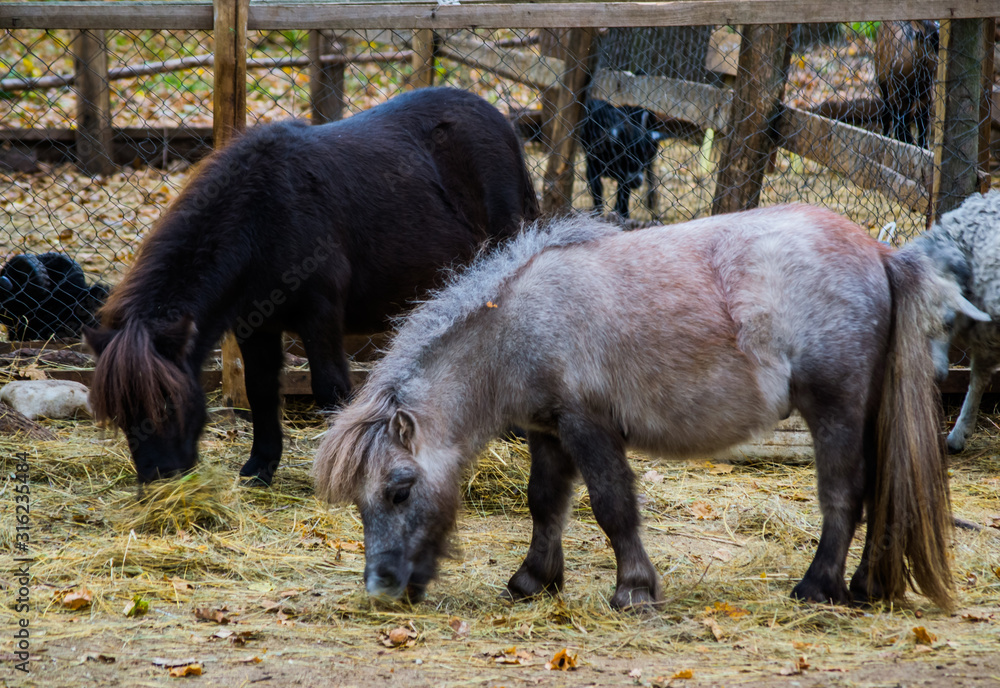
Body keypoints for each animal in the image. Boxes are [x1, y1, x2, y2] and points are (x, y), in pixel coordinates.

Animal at [85, 87, 539, 486]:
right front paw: (259, 469)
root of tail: (500, 122)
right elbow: (261, 390)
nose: (159, 478)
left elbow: (332, 391)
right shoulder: (255, 325)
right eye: (121, 414)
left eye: (167, 403)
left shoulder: (319, 316)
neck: (263, 217)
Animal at [312, 206, 980, 612]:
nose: (382, 588)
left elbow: (612, 507)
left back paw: (818, 587)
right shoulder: (549, 433)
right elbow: (545, 504)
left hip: (835, 410)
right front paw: (533, 581)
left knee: (845, 496)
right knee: (881, 494)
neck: (519, 328)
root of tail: (882, 255)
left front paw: (633, 590)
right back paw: (866, 587)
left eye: (400, 488)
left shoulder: (589, 428)